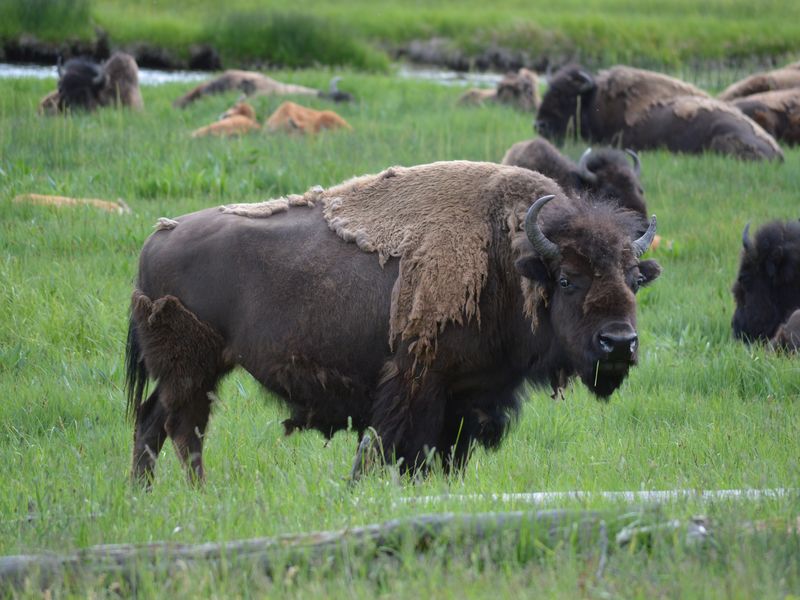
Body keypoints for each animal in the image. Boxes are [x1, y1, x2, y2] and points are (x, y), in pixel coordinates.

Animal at [126, 161, 660, 485]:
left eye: (635, 279)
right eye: (567, 279)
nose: (619, 343)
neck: (507, 261)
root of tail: (154, 239)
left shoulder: (468, 398)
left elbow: (444, 459)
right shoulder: (415, 382)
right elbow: (384, 448)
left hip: (185, 372)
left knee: (151, 422)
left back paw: (142, 493)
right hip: (192, 369)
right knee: (184, 429)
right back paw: (195, 493)